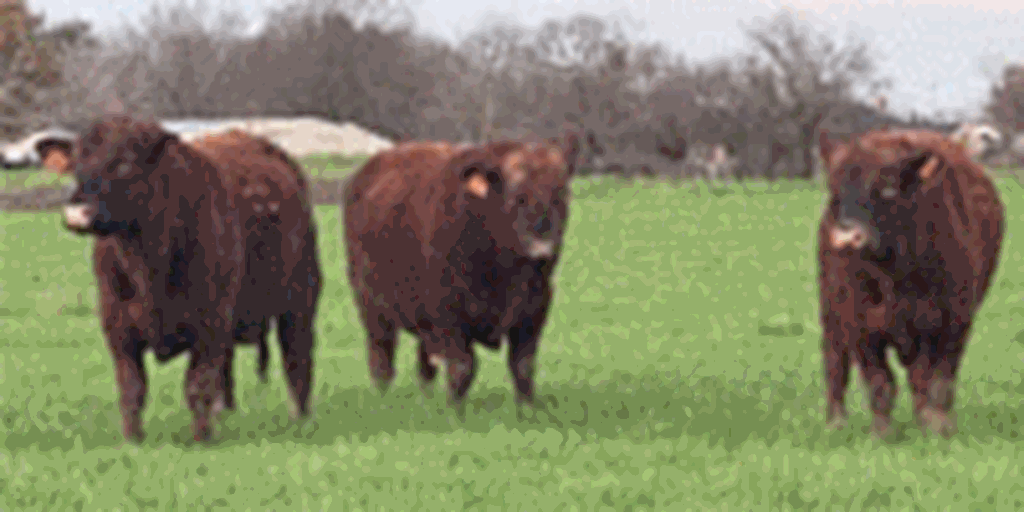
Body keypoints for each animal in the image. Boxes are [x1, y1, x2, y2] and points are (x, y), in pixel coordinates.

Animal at [343, 134, 579, 415]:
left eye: (561, 195)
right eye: (517, 197)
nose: (541, 247)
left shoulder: (534, 311)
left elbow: (523, 367)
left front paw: (527, 411)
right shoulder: (448, 314)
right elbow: (462, 368)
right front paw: (456, 414)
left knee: (425, 366)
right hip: (372, 308)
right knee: (382, 359)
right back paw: (383, 400)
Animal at [817, 128, 1004, 439]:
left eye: (887, 189)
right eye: (835, 192)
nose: (846, 237)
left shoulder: (952, 324)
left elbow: (938, 382)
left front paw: (937, 429)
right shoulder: (860, 326)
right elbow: (880, 383)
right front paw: (881, 433)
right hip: (830, 313)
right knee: (835, 364)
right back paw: (835, 423)